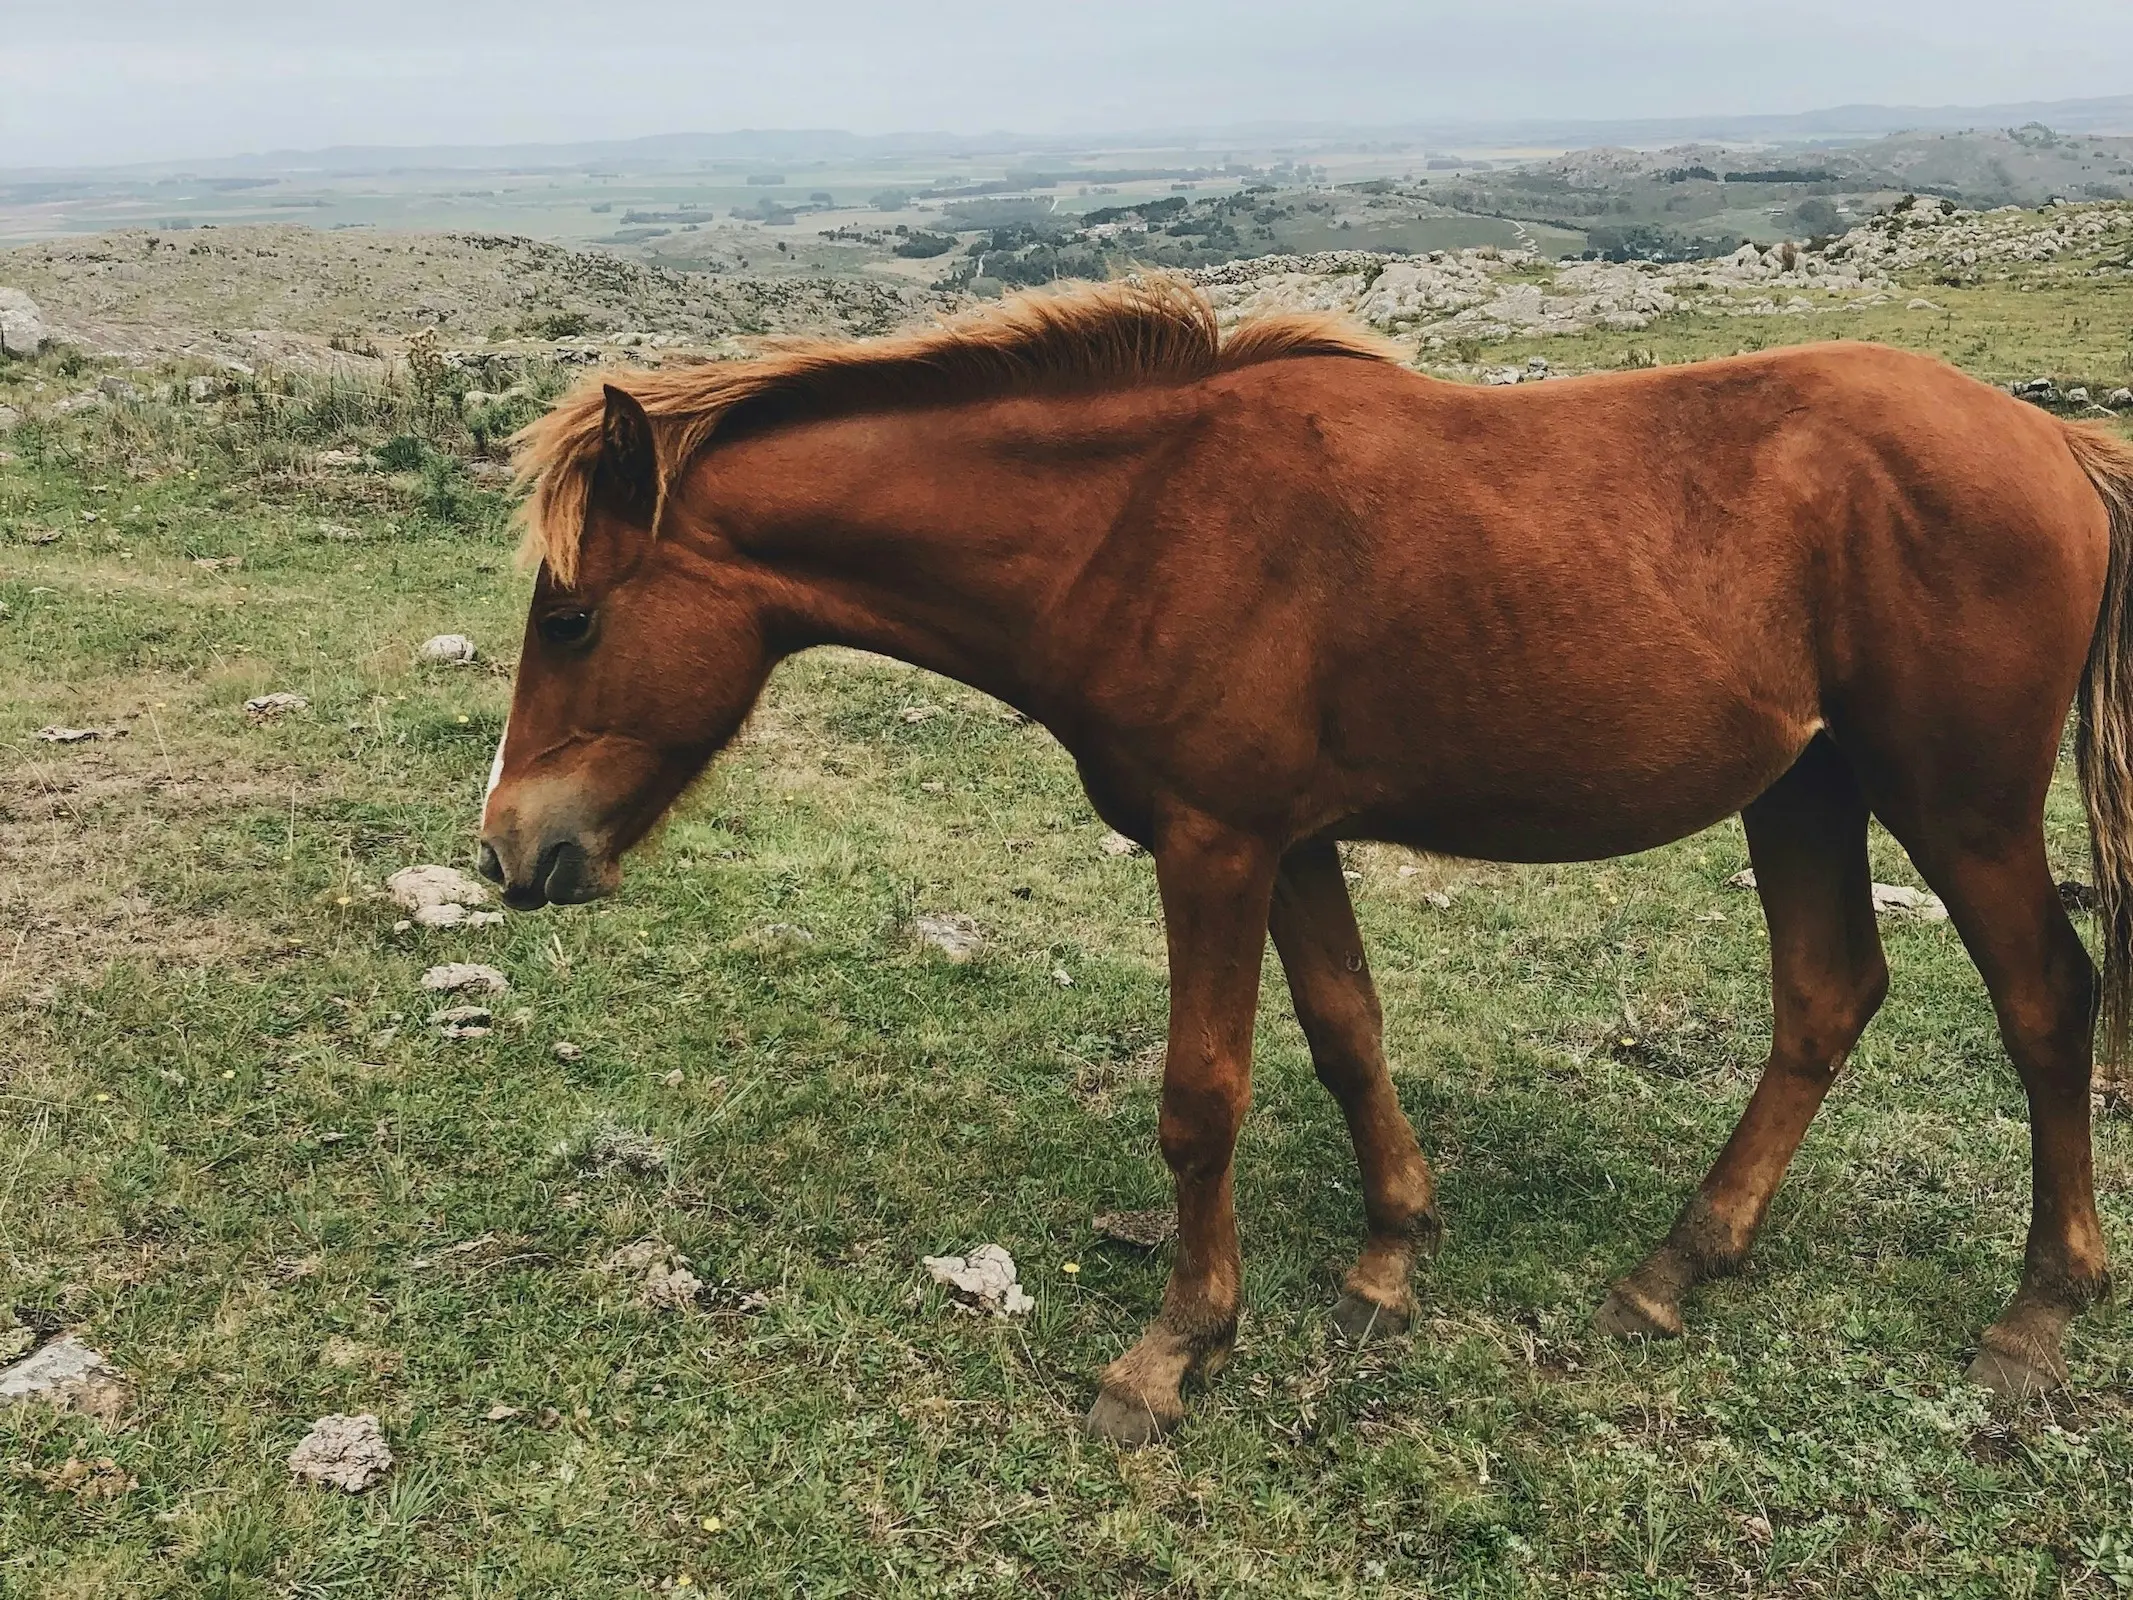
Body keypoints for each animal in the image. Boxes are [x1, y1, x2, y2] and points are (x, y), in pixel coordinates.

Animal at [480, 277, 2133, 1444]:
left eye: (571, 617)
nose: (509, 852)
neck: (1140, 522)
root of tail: (2049, 438)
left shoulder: (1214, 844)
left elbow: (1200, 1100)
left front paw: (1172, 1350)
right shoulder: (1292, 842)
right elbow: (1345, 1035)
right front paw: (1389, 1255)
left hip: (1958, 808)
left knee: (2047, 1006)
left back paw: (2036, 1315)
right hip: (1803, 787)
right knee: (1824, 998)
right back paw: (1677, 1268)